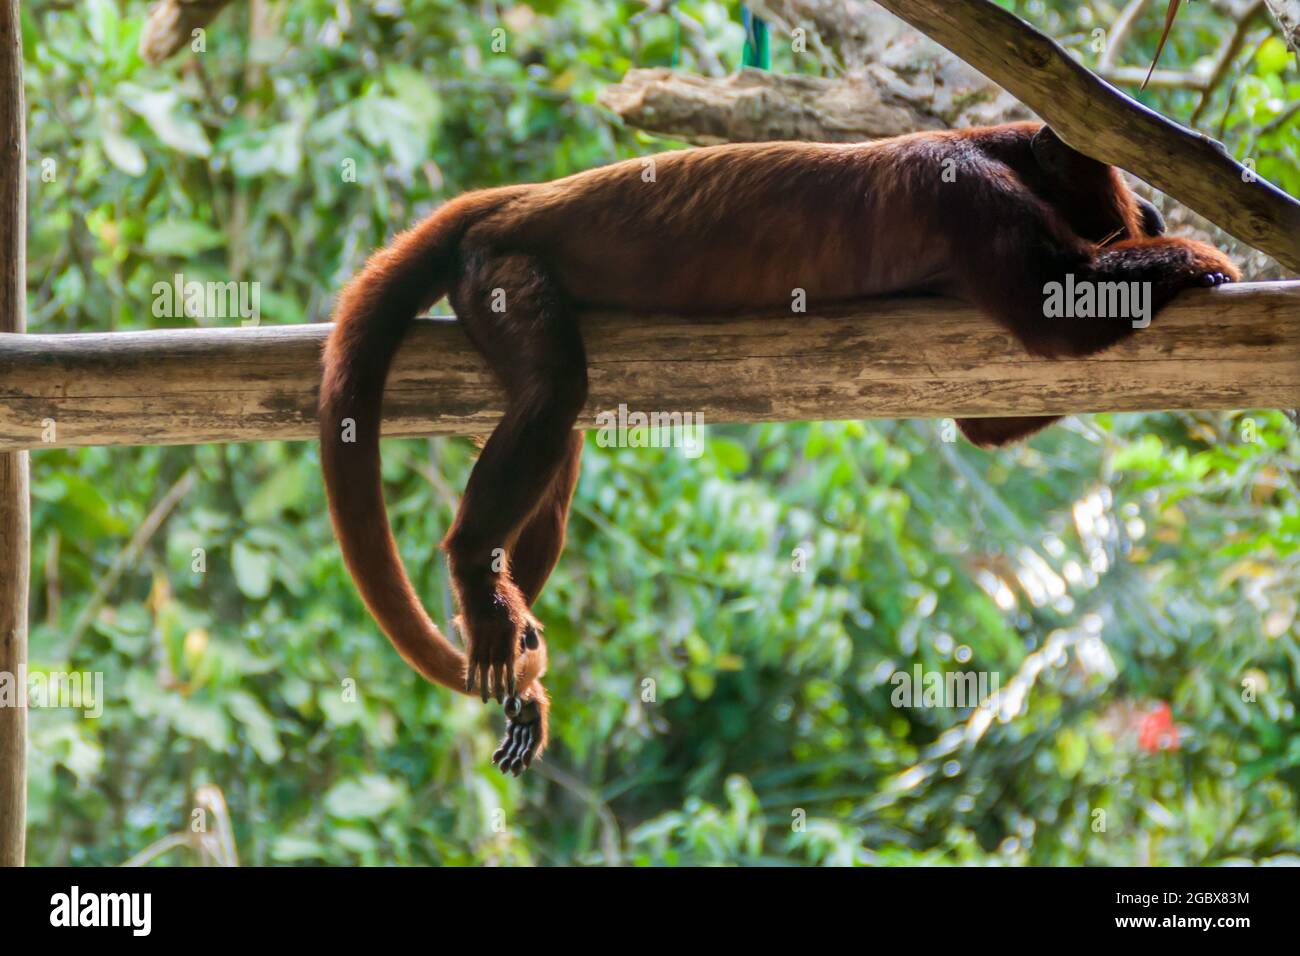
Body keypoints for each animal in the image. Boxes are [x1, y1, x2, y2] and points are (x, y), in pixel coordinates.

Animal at [318, 121, 1238, 775]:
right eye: (1119, 190)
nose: (1148, 210)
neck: (993, 144)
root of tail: (503, 204)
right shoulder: (969, 193)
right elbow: (1056, 307)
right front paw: (1202, 256)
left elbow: (985, 418)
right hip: (501, 271)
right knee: (553, 395)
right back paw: (475, 569)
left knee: (557, 454)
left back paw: (515, 655)